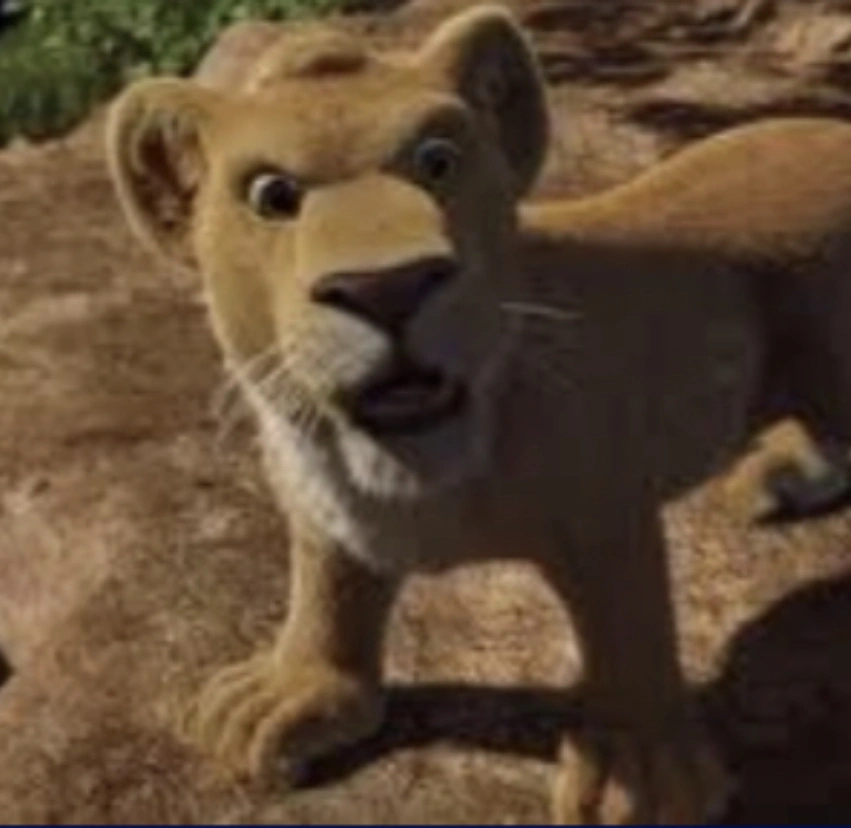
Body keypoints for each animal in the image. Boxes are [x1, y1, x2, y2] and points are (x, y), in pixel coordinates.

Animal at [104, 4, 851, 822]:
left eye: (437, 160)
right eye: (272, 195)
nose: (388, 287)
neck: (411, 472)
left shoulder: (606, 516)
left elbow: (630, 634)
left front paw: (639, 771)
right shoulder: (325, 514)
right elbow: (325, 599)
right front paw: (284, 698)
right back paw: (781, 474)